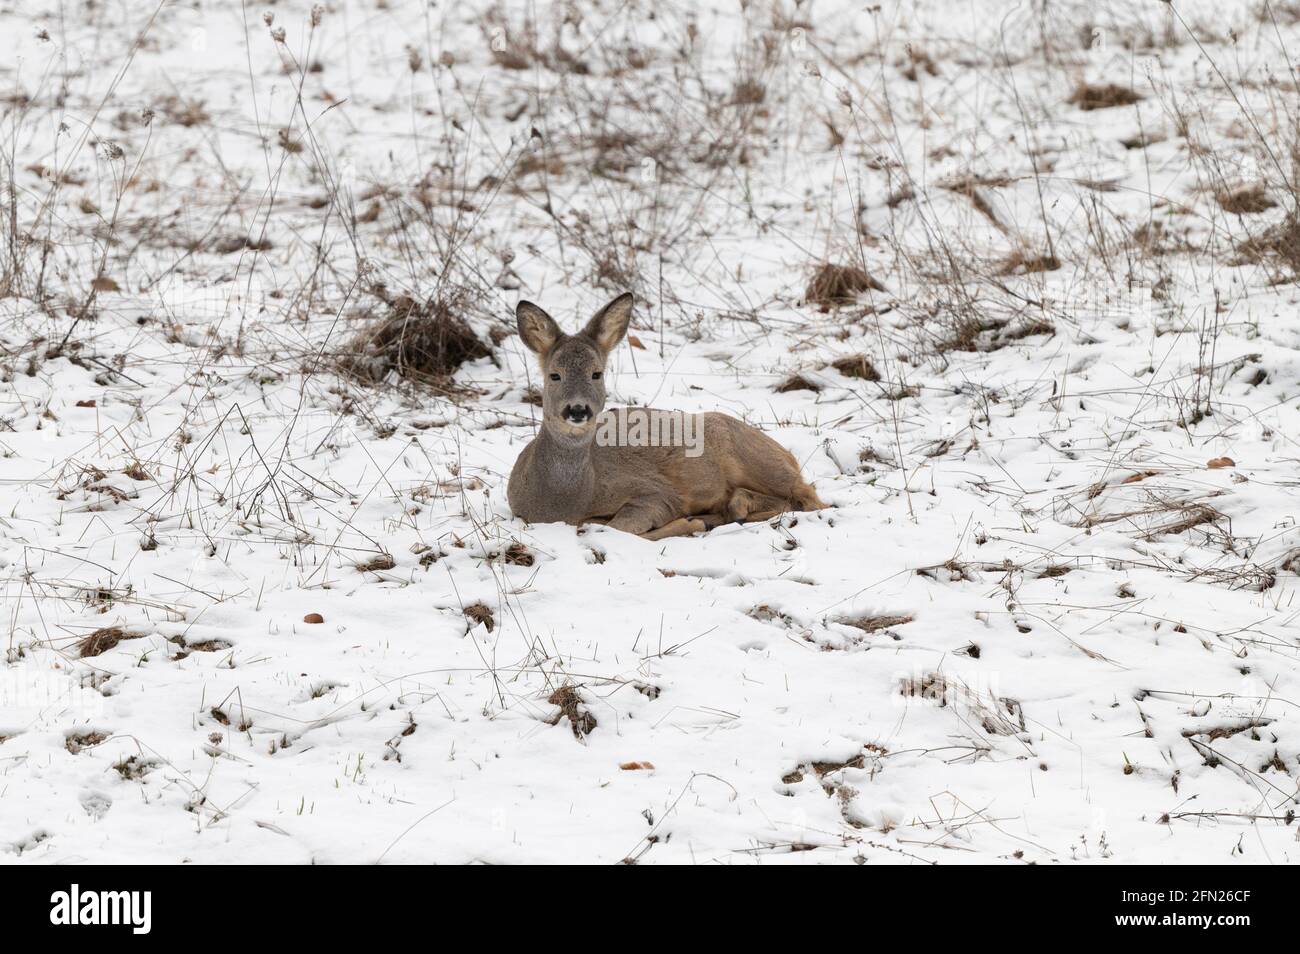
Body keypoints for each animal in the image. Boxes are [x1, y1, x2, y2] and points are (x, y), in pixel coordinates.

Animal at [507, 292, 826, 541]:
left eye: (596, 373)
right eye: (554, 375)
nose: (577, 409)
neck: (568, 500)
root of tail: (788, 455)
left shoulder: (657, 492)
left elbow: (621, 527)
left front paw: (688, 522)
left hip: (757, 459)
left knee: (812, 499)